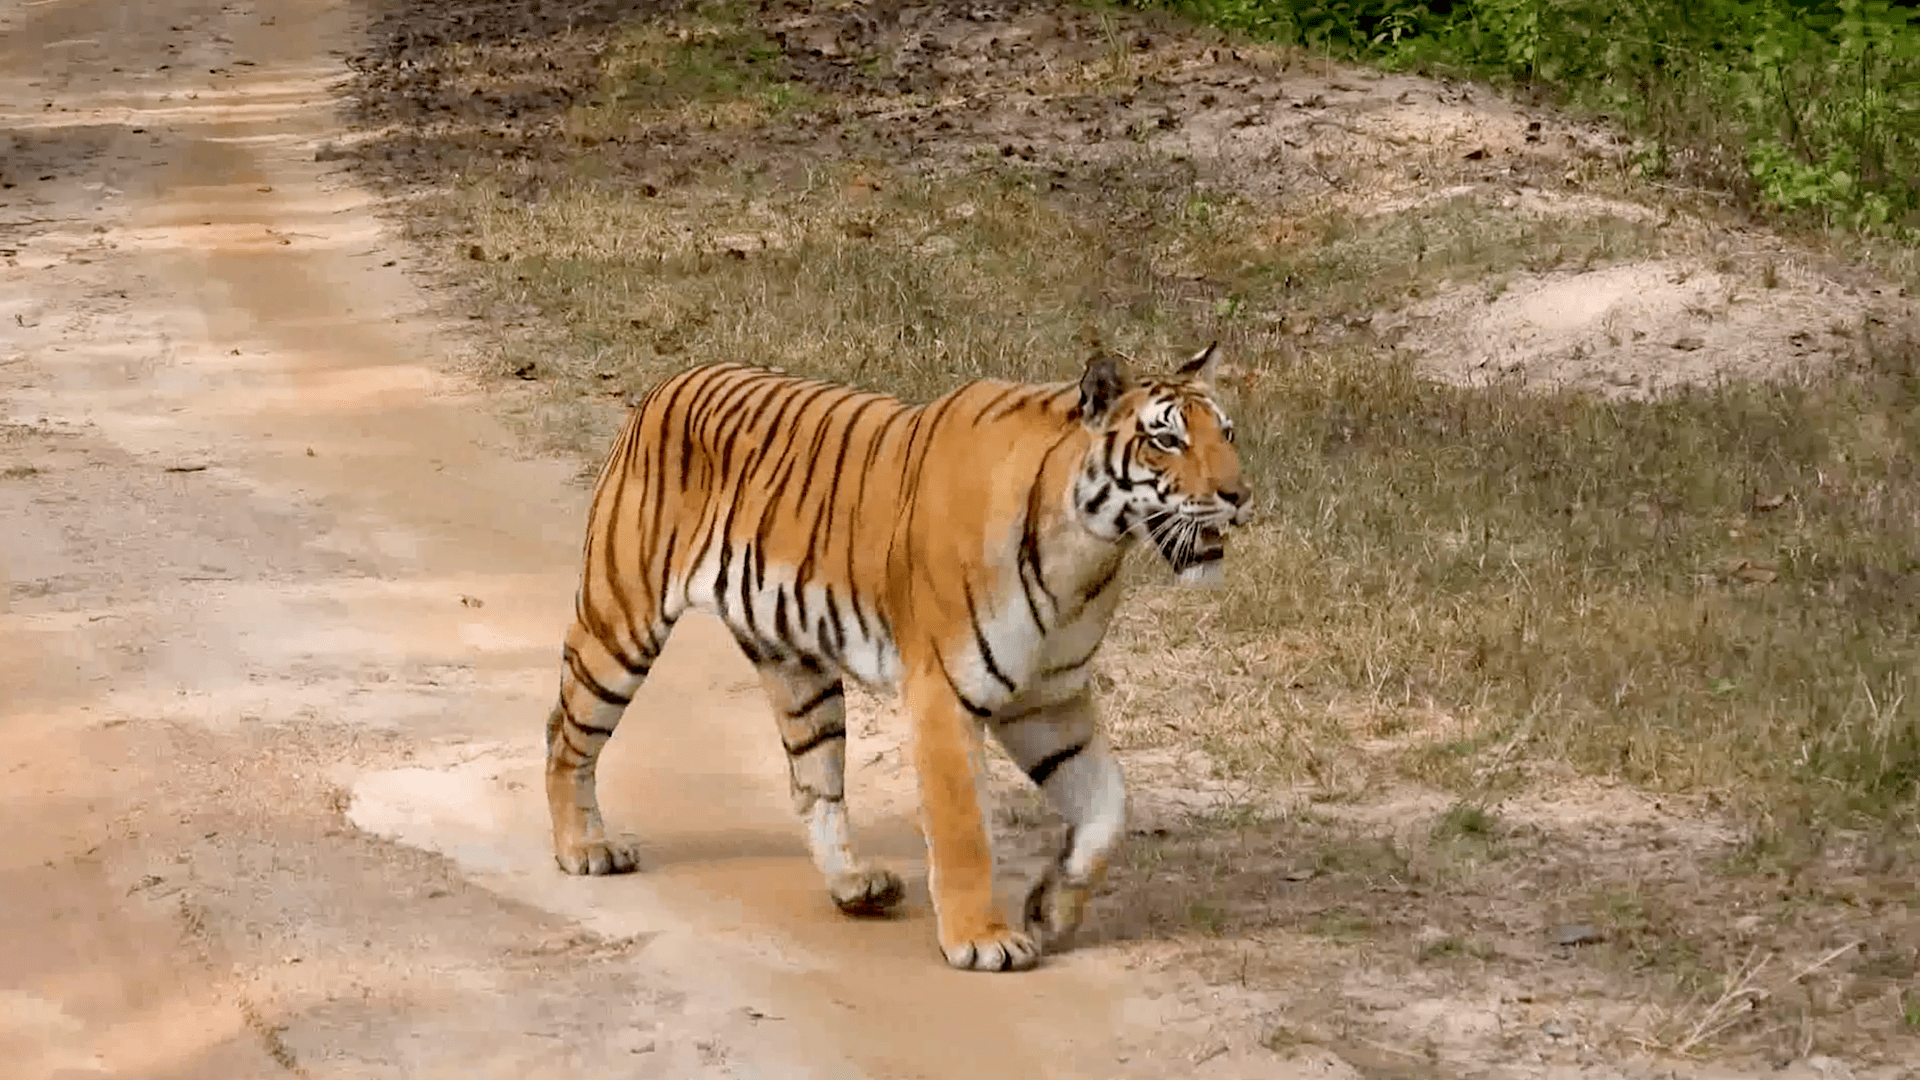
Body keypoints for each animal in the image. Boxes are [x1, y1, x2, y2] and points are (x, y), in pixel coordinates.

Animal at [542, 342, 1249, 972]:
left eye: (1227, 433)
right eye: (1167, 440)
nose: (1240, 495)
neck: (1089, 553)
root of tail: (668, 383)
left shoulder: (1048, 699)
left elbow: (1109, 808)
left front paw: (1051, 909)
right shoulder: (945, 691)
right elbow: (963, 826)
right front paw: (983, 941)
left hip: (798, 669)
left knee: (813, 783)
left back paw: (854, 884)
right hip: (619, 622)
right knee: (565, 732)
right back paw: (585, 848)